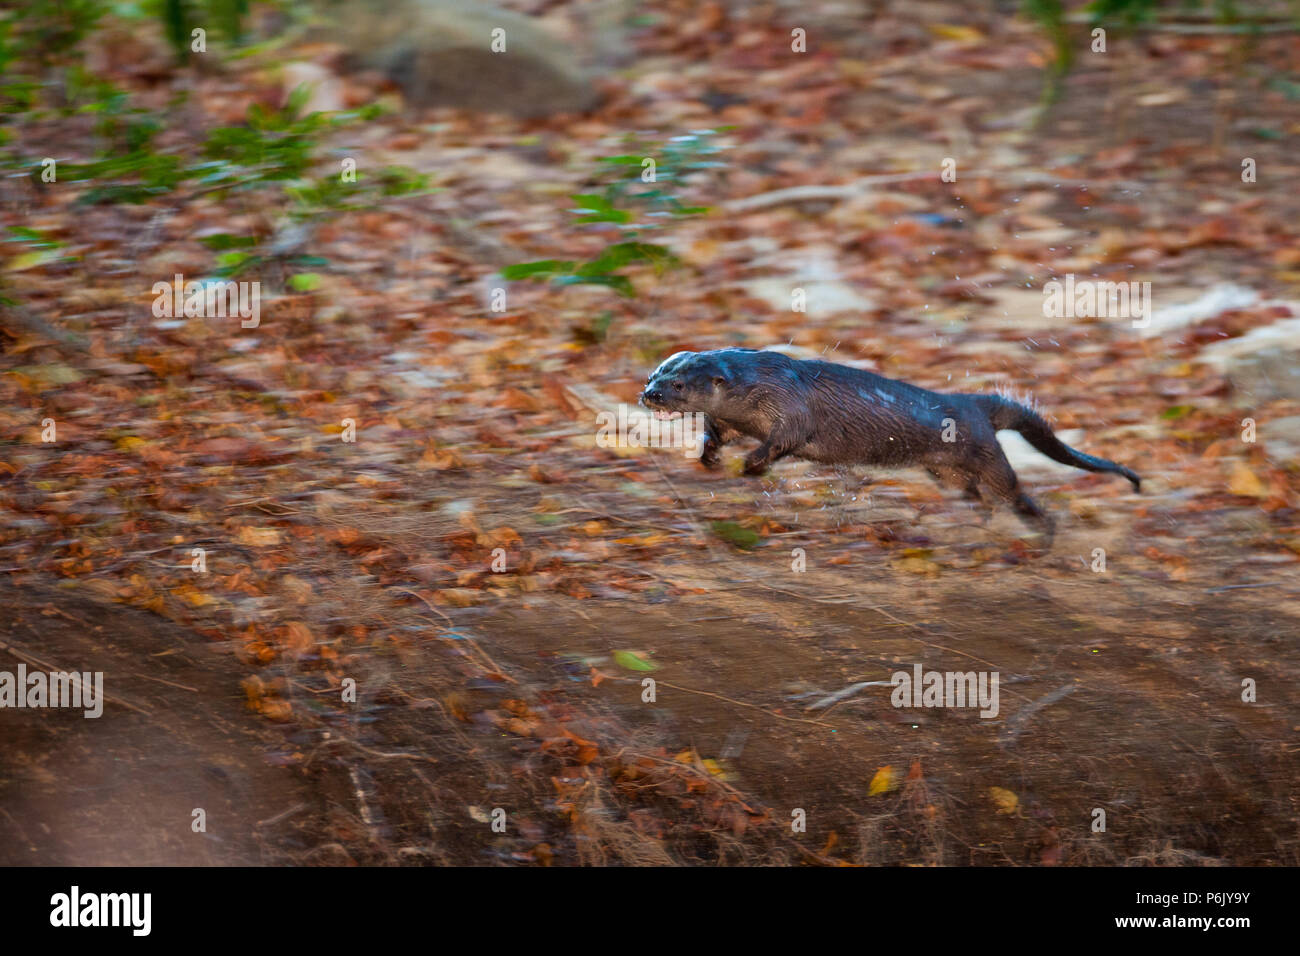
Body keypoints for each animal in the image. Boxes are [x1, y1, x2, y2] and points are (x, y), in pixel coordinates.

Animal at [638, 348, 1140, 538]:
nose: (651, 395)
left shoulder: (789, 411)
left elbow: (783, 442)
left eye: (679, 385)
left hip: (985, 453)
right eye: (653, 375)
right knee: (971, 491)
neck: (761, 387)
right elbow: (715, 432)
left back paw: (1040, 527)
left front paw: (751, 465)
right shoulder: (729, 419)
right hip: (943, 469)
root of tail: (971, 401)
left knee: (1011, 489)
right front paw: (709, 458)